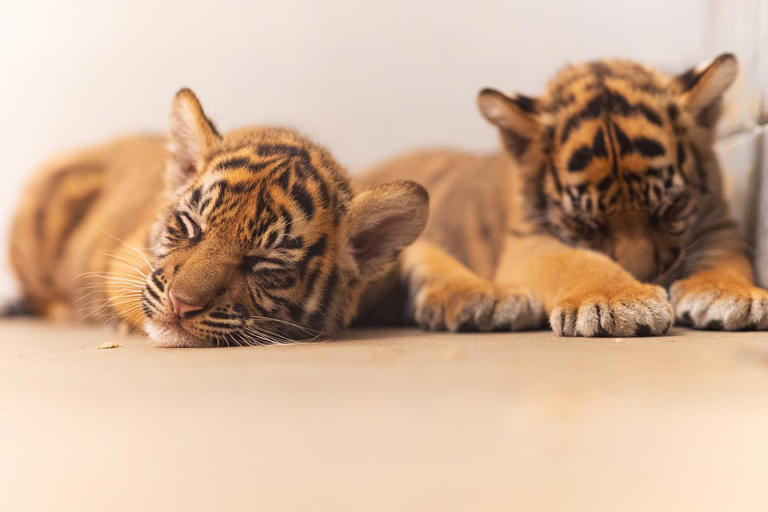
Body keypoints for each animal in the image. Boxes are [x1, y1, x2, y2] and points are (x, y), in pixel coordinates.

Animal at [354, 53, 768, 336]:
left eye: (671, 208)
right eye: (582, 223)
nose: (646, 277)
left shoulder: (717, 222)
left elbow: (725, 259)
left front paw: (734, 296)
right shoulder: (528, 242)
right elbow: (575, 261)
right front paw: (621, 301)